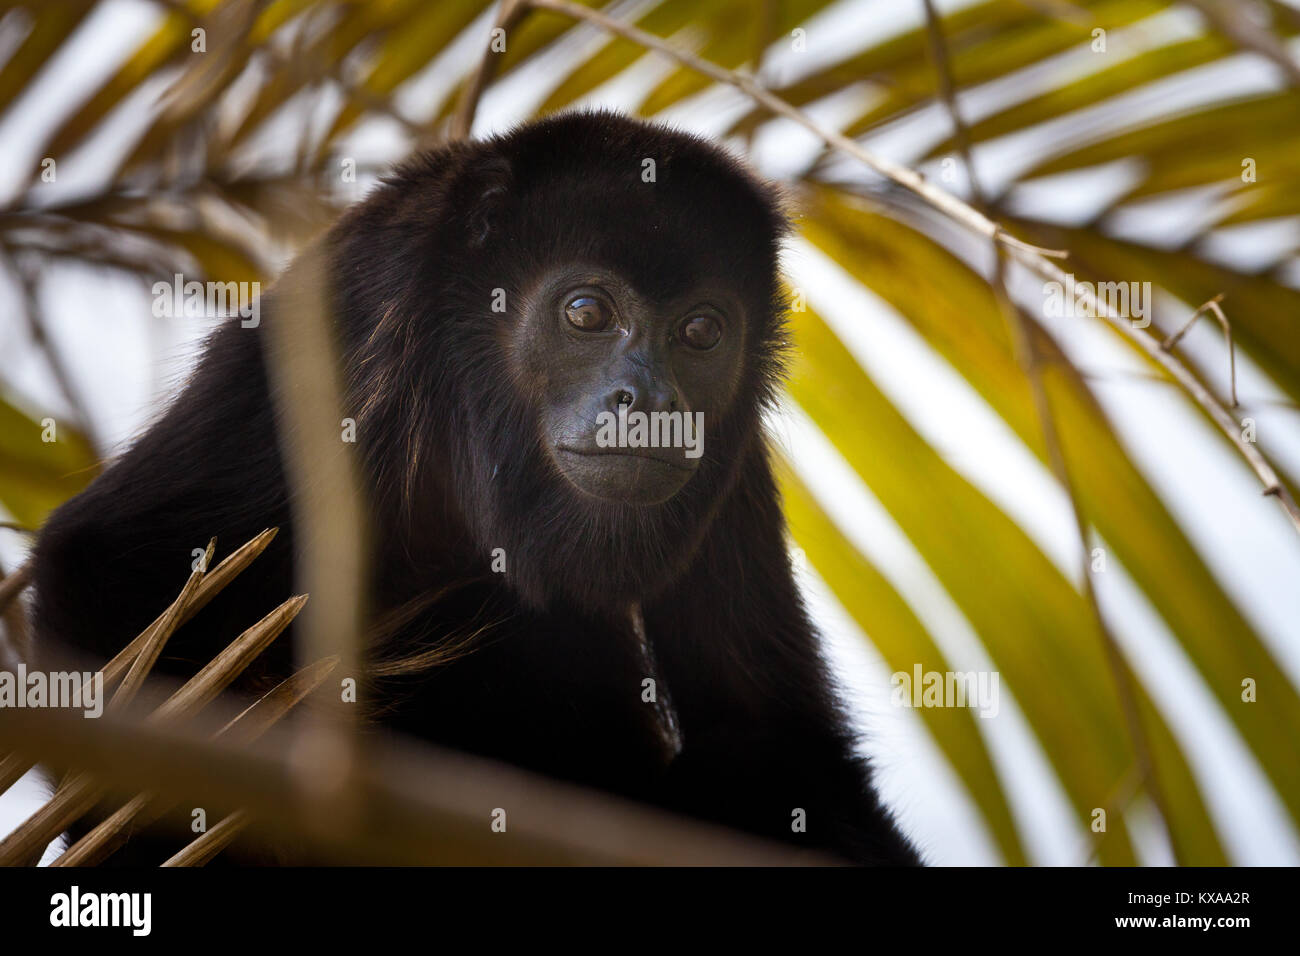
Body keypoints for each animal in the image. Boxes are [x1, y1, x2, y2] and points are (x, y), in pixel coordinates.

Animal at [28, 110, 921, 866]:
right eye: (586, 312)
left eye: (702, 331)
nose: (655, 402)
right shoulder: (358, 310)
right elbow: (111, 560)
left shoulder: (732, 466)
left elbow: (775, 739)